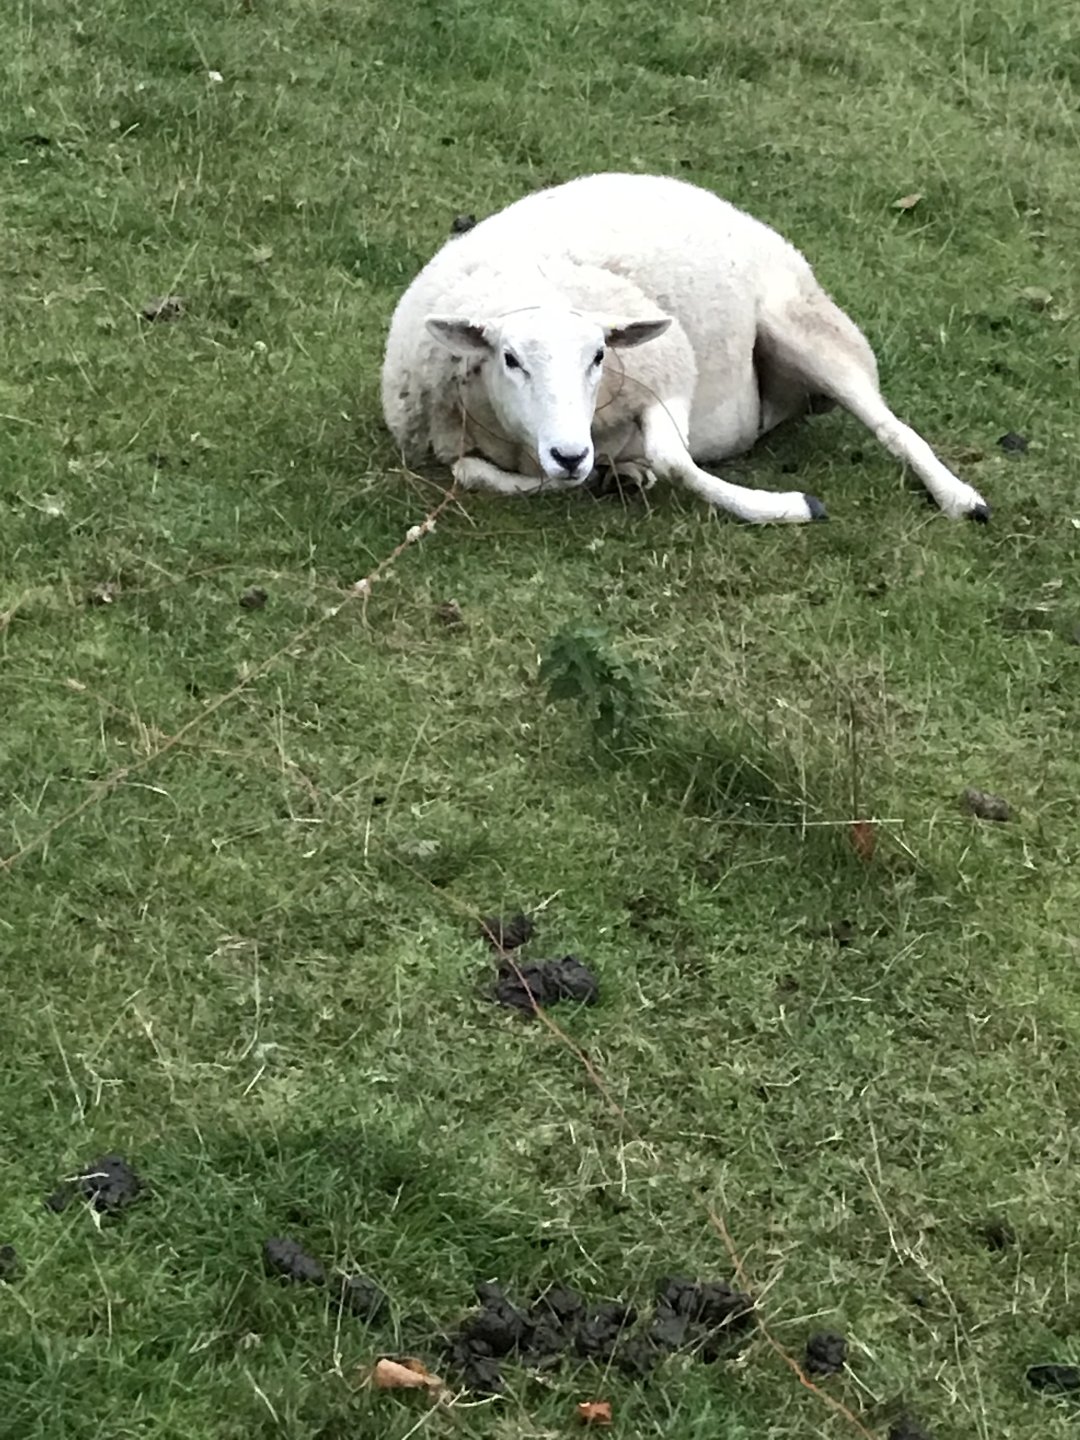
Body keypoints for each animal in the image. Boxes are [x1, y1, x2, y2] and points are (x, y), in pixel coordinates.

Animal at [380, 172, 990, 526]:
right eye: (510, 360)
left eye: (599, 356)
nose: (572, 455)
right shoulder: (452, 446)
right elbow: (474, 475)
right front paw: (611, 474)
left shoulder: (669, 370)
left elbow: (675, 460)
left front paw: (789, 508)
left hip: (805, 327)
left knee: (890, 426)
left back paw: (959, 498)